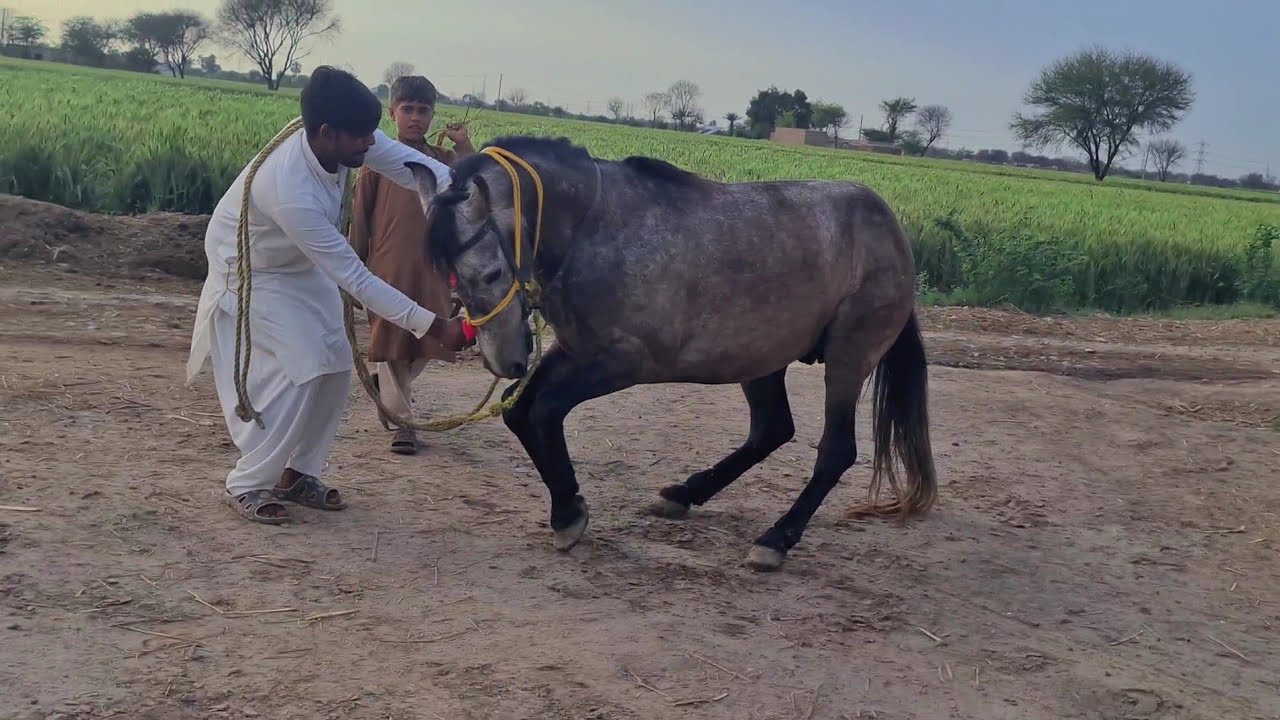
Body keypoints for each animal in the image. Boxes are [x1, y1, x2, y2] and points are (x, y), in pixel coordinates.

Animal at [401, 135, 938, 572]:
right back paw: (685, 494)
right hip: (760, 358)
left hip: (849, 357)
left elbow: (545, 410)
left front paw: (569, 514)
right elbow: (520, 410)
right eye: (450, 278)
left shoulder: (625, 363)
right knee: (771, 429)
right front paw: (566, 509)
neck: (593, 228)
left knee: (835, 451)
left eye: (491, 273)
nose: (503, 359)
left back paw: (776, 539)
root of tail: (892, 230)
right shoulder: (575, 352)